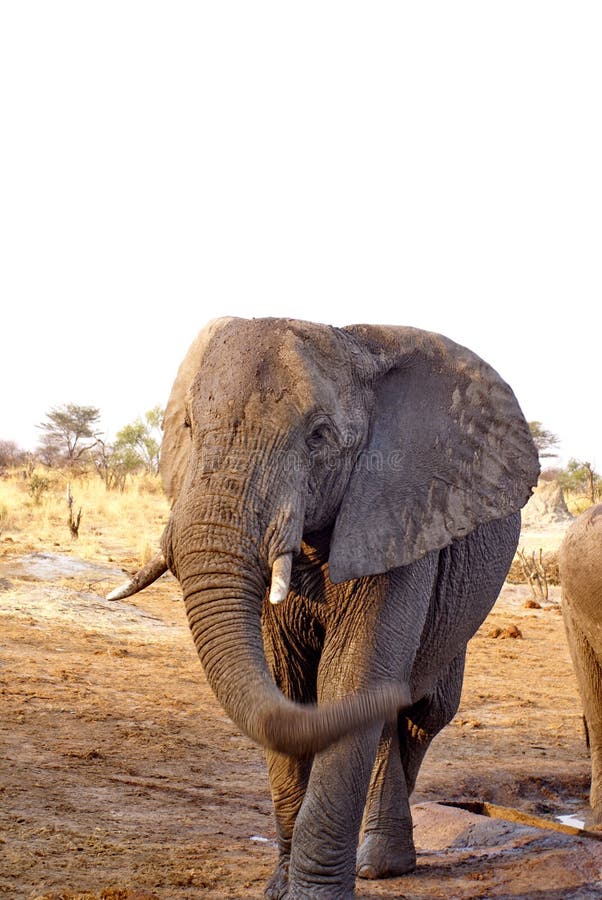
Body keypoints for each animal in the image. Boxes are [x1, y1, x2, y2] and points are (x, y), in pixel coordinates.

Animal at [107, 317, 539, 898]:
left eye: (319, 437)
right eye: (190, 426)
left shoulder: (396, 515)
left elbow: (351, 679)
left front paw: (311, 894)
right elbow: (289, 684)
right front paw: (279, 889)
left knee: (422, 711)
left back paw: (381, 863)